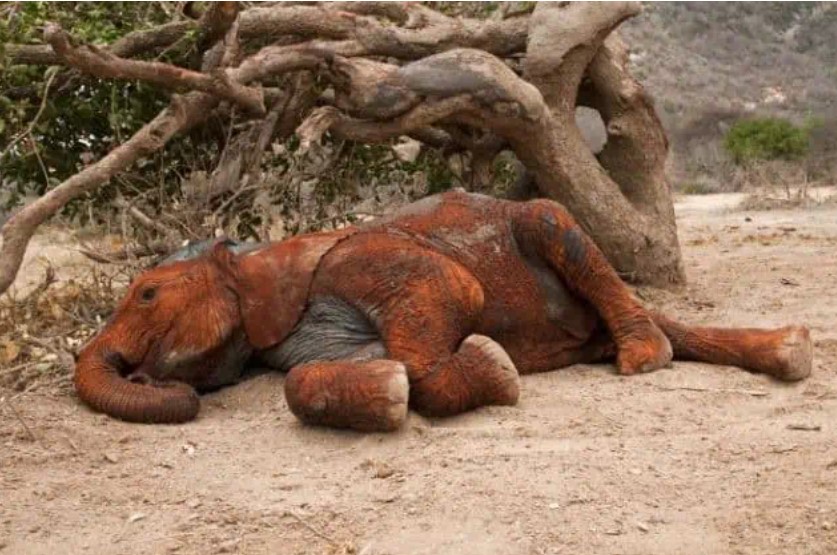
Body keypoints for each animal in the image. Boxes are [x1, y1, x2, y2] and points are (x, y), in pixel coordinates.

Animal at [74, 192, 813, 431]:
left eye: (146, 293)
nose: (146, 376)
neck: (251, 256)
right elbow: (308, 377)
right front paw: (385, 391)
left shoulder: (364, 258)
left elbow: (452, 289)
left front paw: (493, 365)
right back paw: (789, 350)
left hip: (541, 226)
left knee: (553, 220)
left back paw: (643, 357)